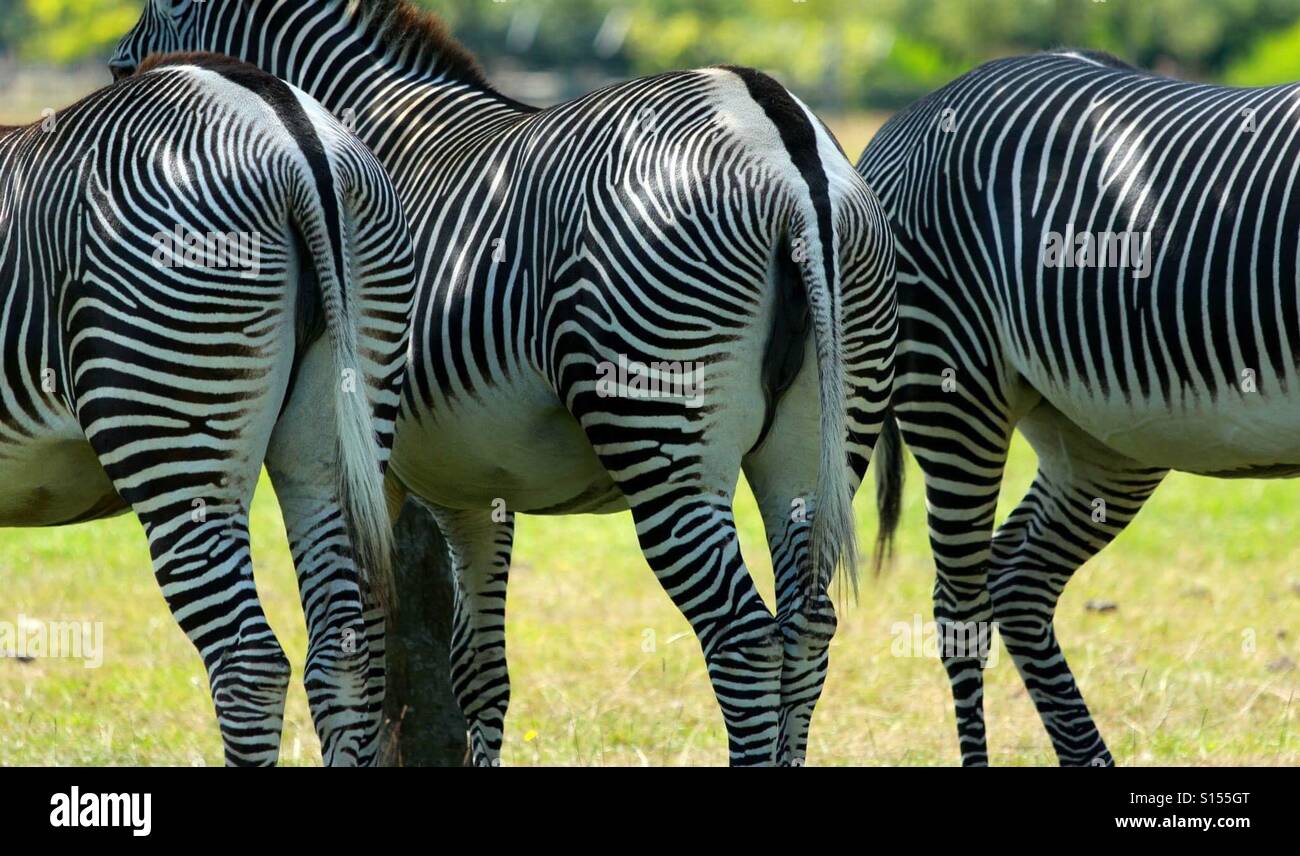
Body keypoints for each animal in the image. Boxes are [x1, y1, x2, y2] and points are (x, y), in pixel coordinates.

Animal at [111, 0, 899, 766]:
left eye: (130, 62)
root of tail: (781, 136)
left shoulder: (379, 475)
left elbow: (374, 654)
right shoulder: (475, 485)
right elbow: (478, 670)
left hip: (664, 437)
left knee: (742, 638)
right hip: (818, 450)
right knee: (806, 630)